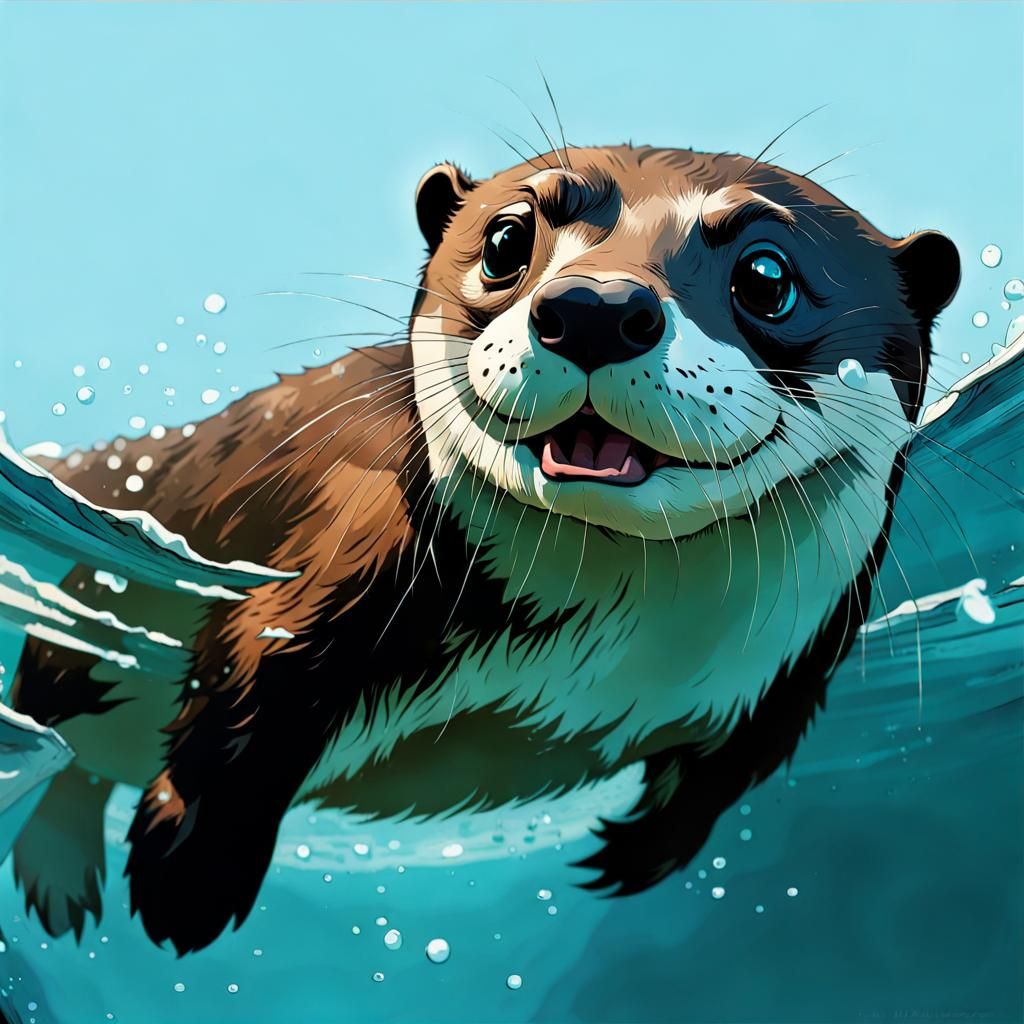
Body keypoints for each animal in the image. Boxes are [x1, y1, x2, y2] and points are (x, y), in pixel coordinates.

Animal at [10, 144, 960, 955]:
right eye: (507, 238)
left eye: (767, 276)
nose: (595, 309)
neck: (620, 650)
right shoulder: (318, 592)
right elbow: (237, 714)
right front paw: (188, 883)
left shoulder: (793, 676)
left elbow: (718, 783)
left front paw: (628, 856)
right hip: (76, 634)